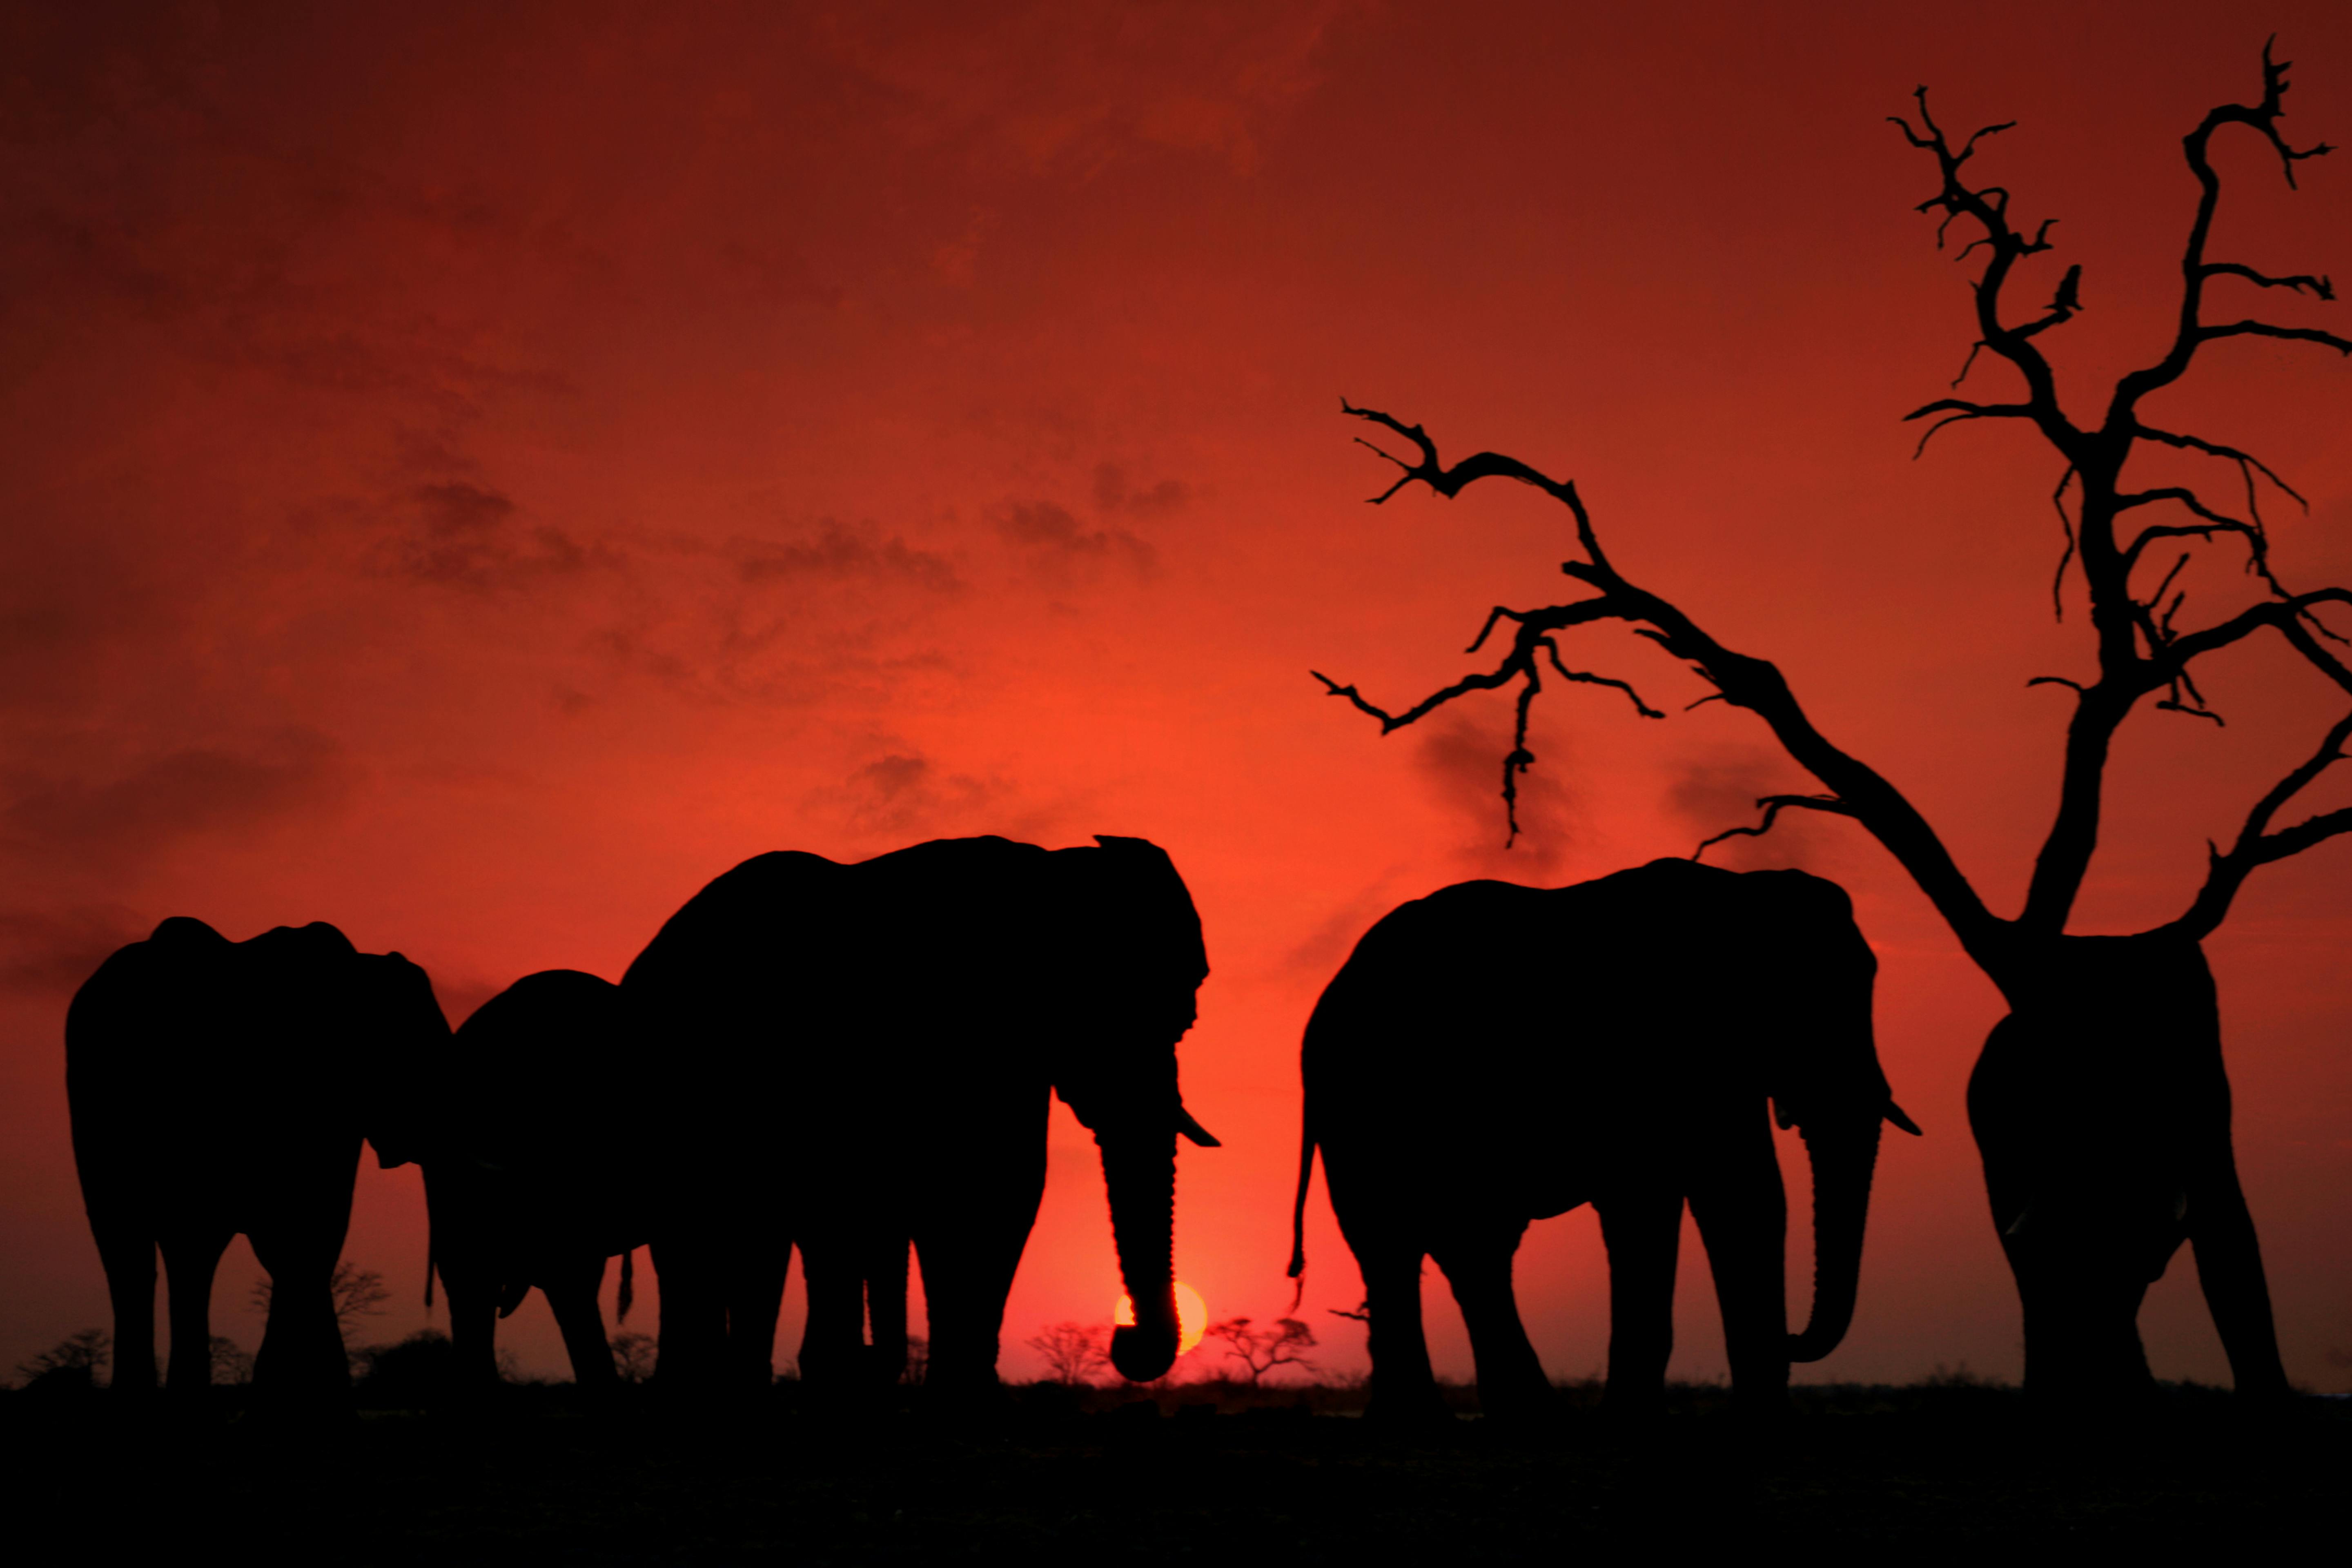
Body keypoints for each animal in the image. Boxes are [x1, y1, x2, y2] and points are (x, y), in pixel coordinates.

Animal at [1287, 858, 1916, 1416]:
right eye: (1794, 996)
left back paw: (1505, 1415)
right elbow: (1659, 1200)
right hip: (1364, 1100)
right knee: (1407, 1236)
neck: (1738, 892)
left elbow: (1744, 1194)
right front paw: (1636, 1417)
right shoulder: (1646, 1045)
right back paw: (1454, 1418)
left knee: (1460, 1244)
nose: (1793, 1336)